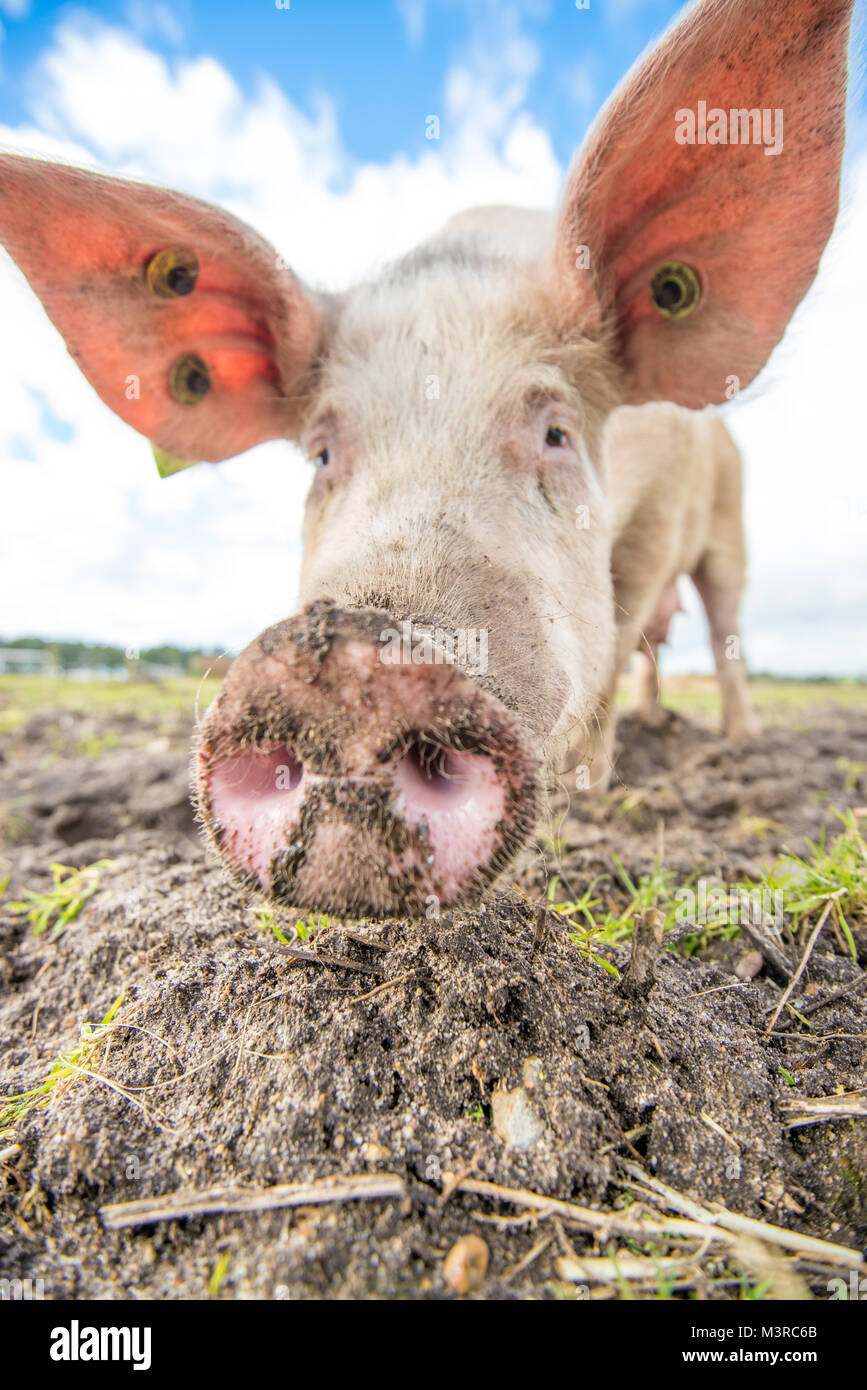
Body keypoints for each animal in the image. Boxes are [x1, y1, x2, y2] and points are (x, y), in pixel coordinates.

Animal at [0, 0, 854, 915]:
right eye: (321, 453)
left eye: (554, 432)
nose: (353, 663)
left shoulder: (658, 519)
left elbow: (617, 638)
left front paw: (593, 792)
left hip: (730, 529)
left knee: (720, 629)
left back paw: (736, 740)